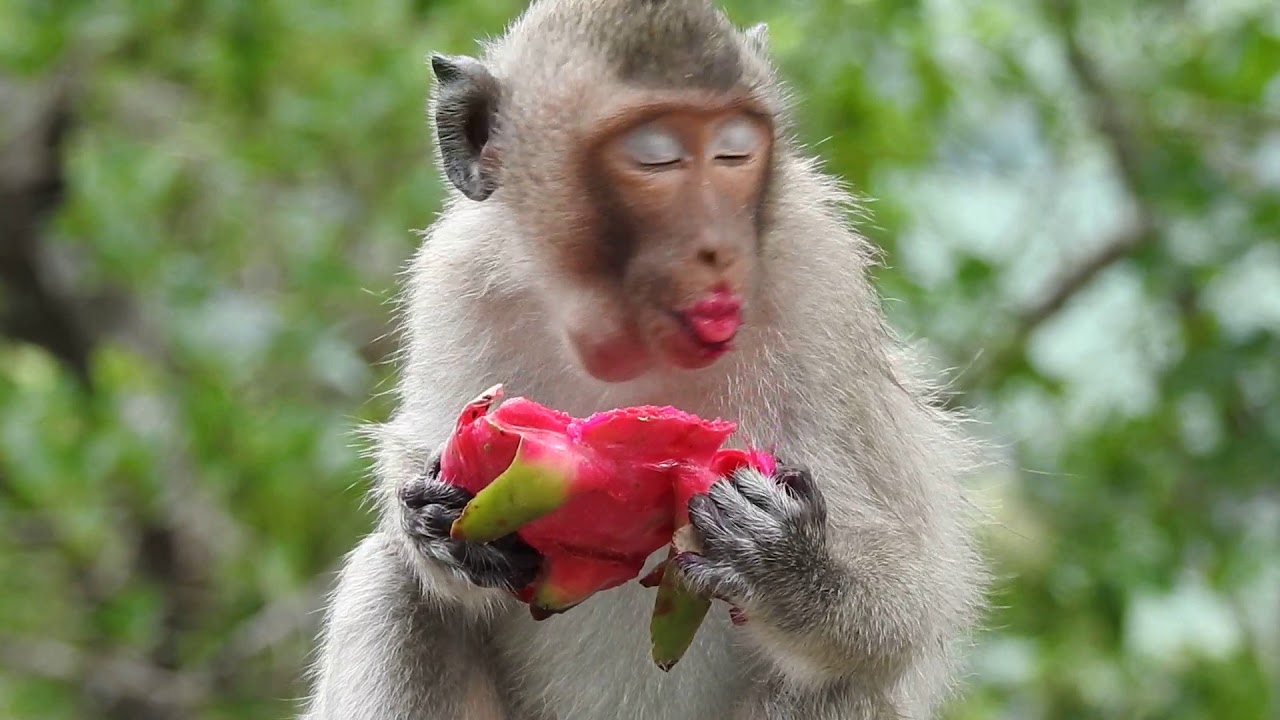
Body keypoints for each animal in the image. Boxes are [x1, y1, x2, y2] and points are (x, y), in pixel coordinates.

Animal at [299, 1, 987, 718]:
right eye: (656, 161)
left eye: (734, 154)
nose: (717, 246)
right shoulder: (456, 273)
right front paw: (432, 517)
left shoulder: (819, 280)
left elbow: (911, 601)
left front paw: (786, 562)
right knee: (391, 583)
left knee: (828, 683)